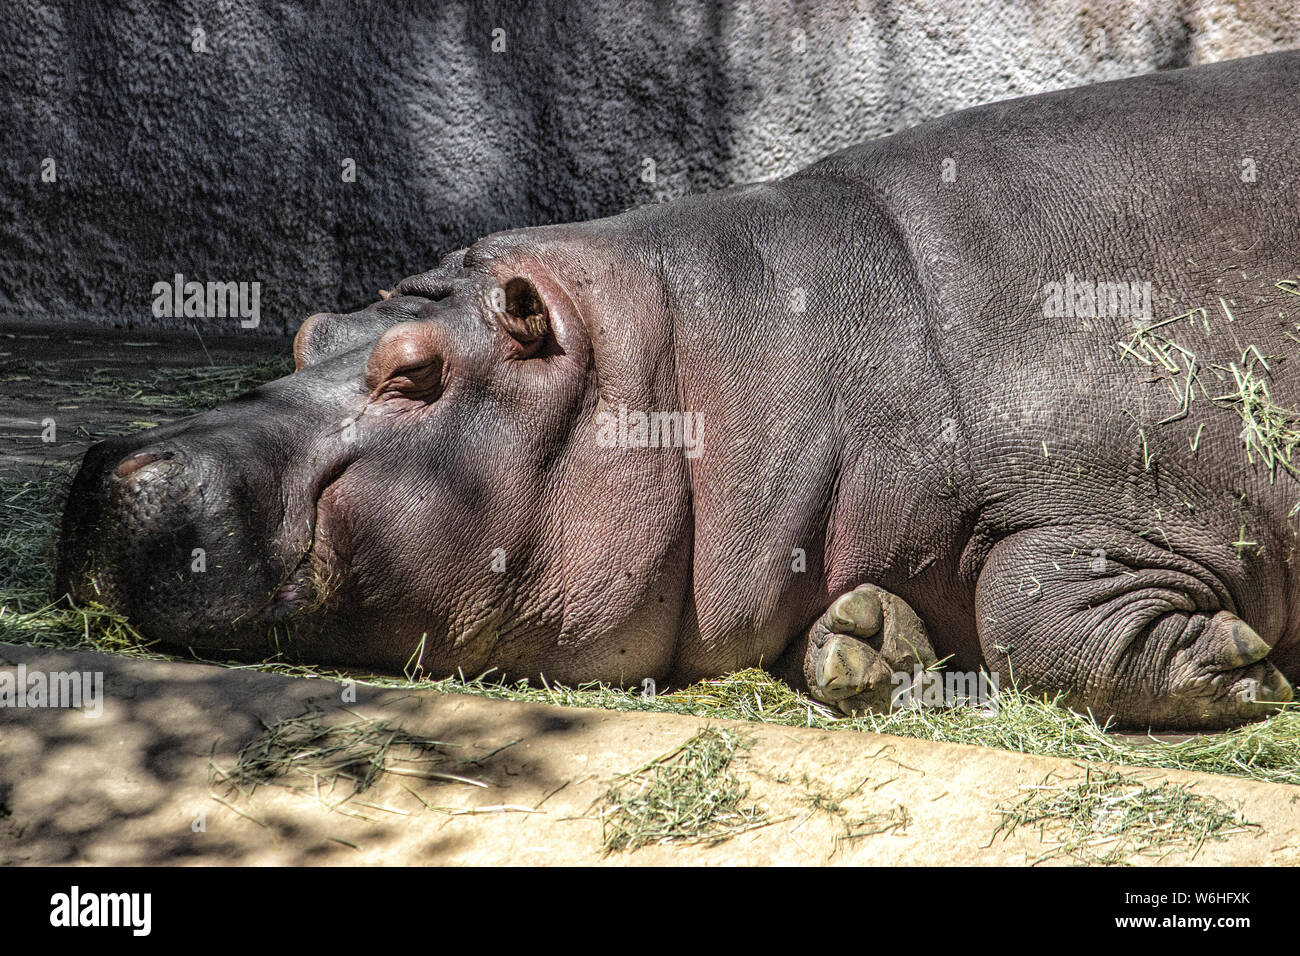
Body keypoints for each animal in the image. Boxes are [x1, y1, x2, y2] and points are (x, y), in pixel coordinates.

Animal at [58, 51, 1300, 729]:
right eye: (311, 327)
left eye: (415, 371)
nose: (110, 464)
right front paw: (868, 642)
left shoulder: (1133, 498)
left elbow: (1029, 596)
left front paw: (1233, 664)